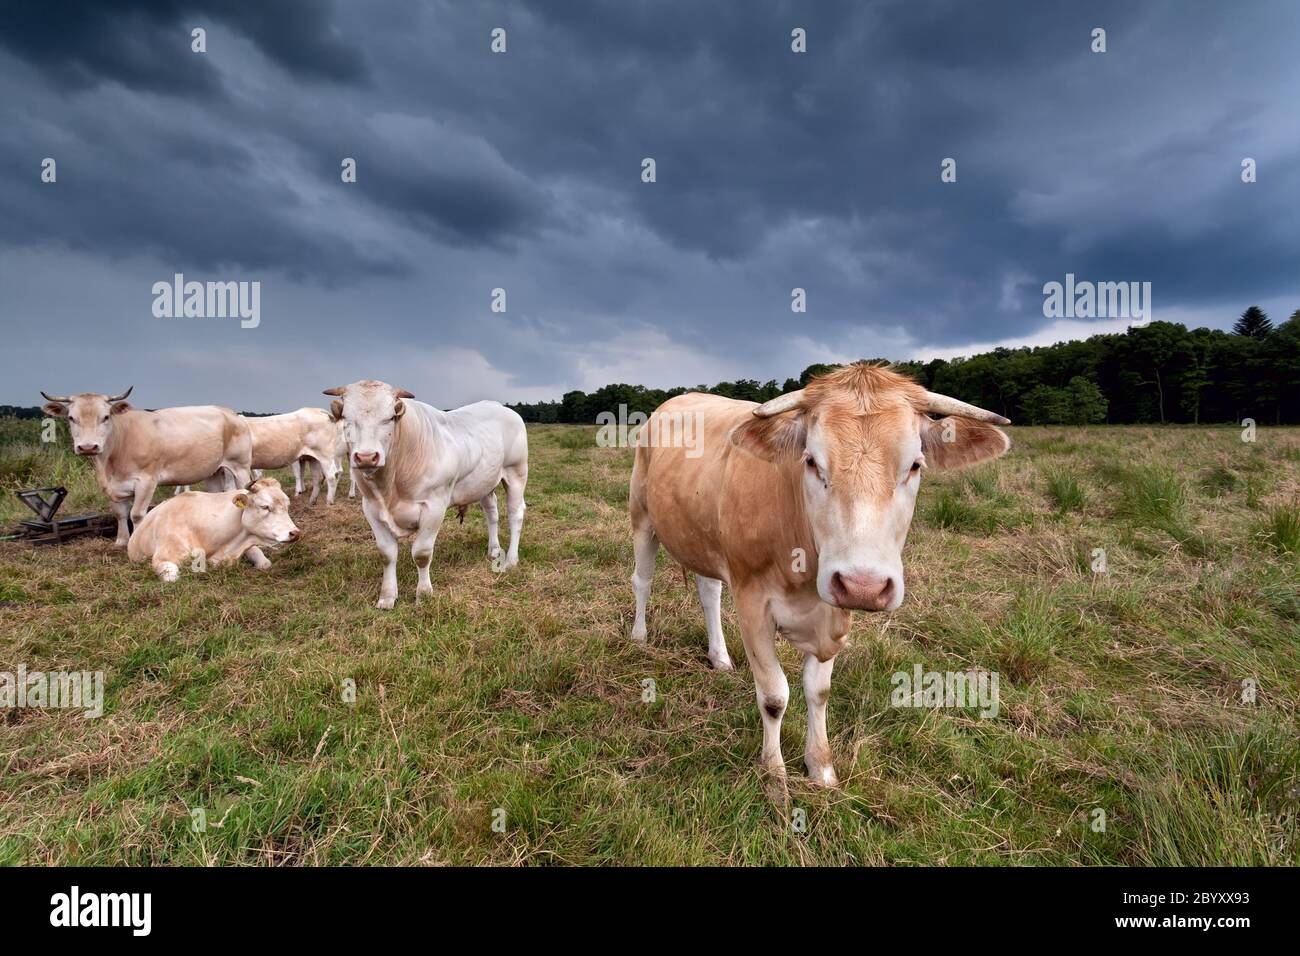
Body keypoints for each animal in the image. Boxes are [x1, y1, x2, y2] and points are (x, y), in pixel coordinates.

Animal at [39, 388, 254, 550]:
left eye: (106, 417)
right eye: (71, 418)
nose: (88, 447)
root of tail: (230, 413)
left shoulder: (146, 480)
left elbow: (136, 514)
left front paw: (135, 542)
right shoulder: (113, 487)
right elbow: (120, 513)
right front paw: (121, 541)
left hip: (241, 466)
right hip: (213, 471)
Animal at [127, 478, 301, 581]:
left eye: (288, 505)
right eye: (264, 506)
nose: (295, 533)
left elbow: (264, 562)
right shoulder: (162, 558)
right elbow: (173, 577)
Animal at [323, 380, 528, 609]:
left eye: (389, 418)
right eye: (347, 419)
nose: (367, 457)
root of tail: (500, 407)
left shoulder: (434, 506)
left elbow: (421, 554)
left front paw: (424, 594)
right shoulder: (371, 508)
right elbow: (386, 554)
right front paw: (387, 597)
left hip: (516, 472)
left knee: (515, 515)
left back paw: (511, 560)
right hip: (484, 482)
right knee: (492, 512)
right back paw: (493, 550)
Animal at [627, 363, 1012, 791]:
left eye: (915, 465)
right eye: (811, 461)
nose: (864, 586)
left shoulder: (833, 611)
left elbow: (819, 691)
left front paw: (821, 767)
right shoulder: (752, 602)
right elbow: (774, 696)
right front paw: (775, 776)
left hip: (702, 535)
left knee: (708, 589)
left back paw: (720, 657)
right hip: (641, 513)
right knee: (642, 580)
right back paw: (639, 637)